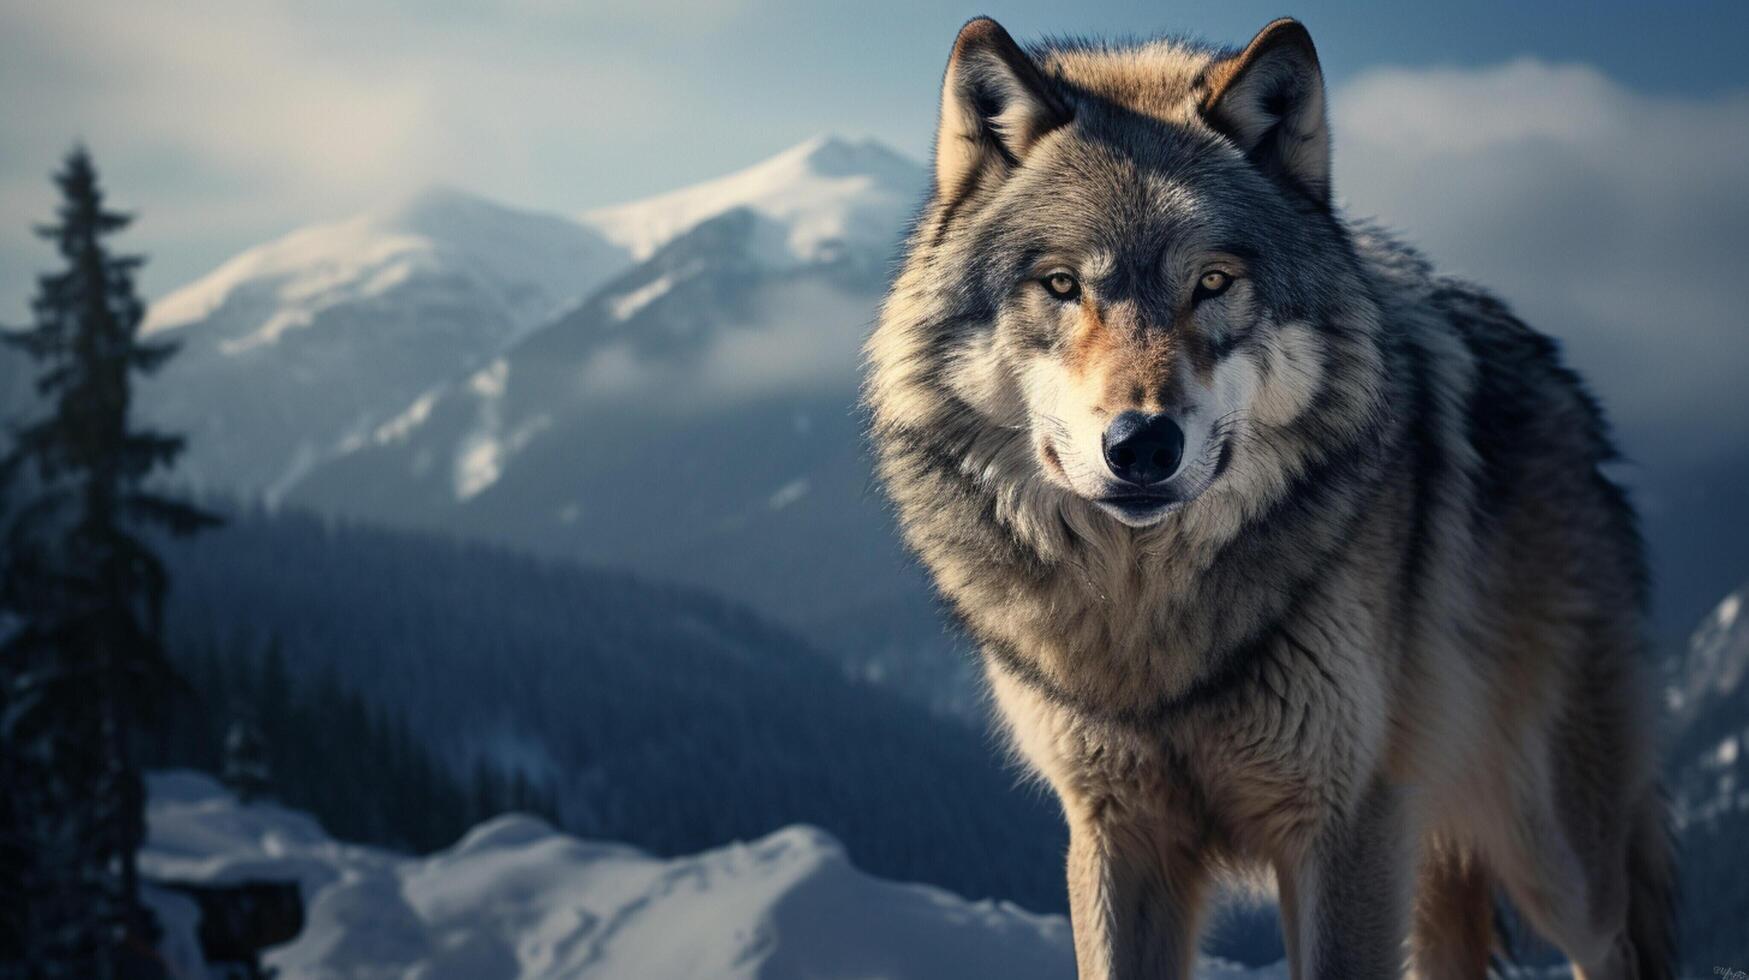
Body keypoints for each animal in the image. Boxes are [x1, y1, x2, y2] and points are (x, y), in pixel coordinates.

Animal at [864, 17, 1675, 980]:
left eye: (1212, 283)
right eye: (1062, 285)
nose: (1141, 445)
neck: (1149, 629)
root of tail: (1571, 395)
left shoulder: (1343, 822)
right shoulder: (1114, 832)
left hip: (1549, 850)